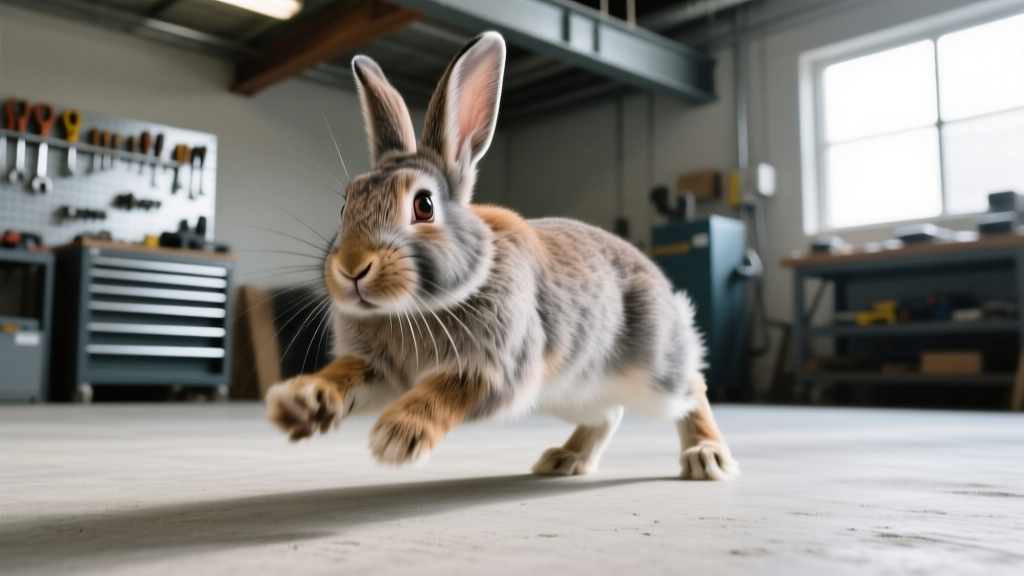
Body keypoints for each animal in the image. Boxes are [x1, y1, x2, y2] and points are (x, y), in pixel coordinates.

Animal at [265, 31, 739, 480]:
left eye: (424, 205)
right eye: (346, 205)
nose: (352, 269)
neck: (415, 308)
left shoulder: (497, 366)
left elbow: (448, 390)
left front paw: (399, 435)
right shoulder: (378, 368)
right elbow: (344, 374)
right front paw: (301, 401)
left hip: (654, 373)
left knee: (692, 387)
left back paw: (707, 457)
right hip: (575, 393)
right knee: (609, 414)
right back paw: (565, 458)